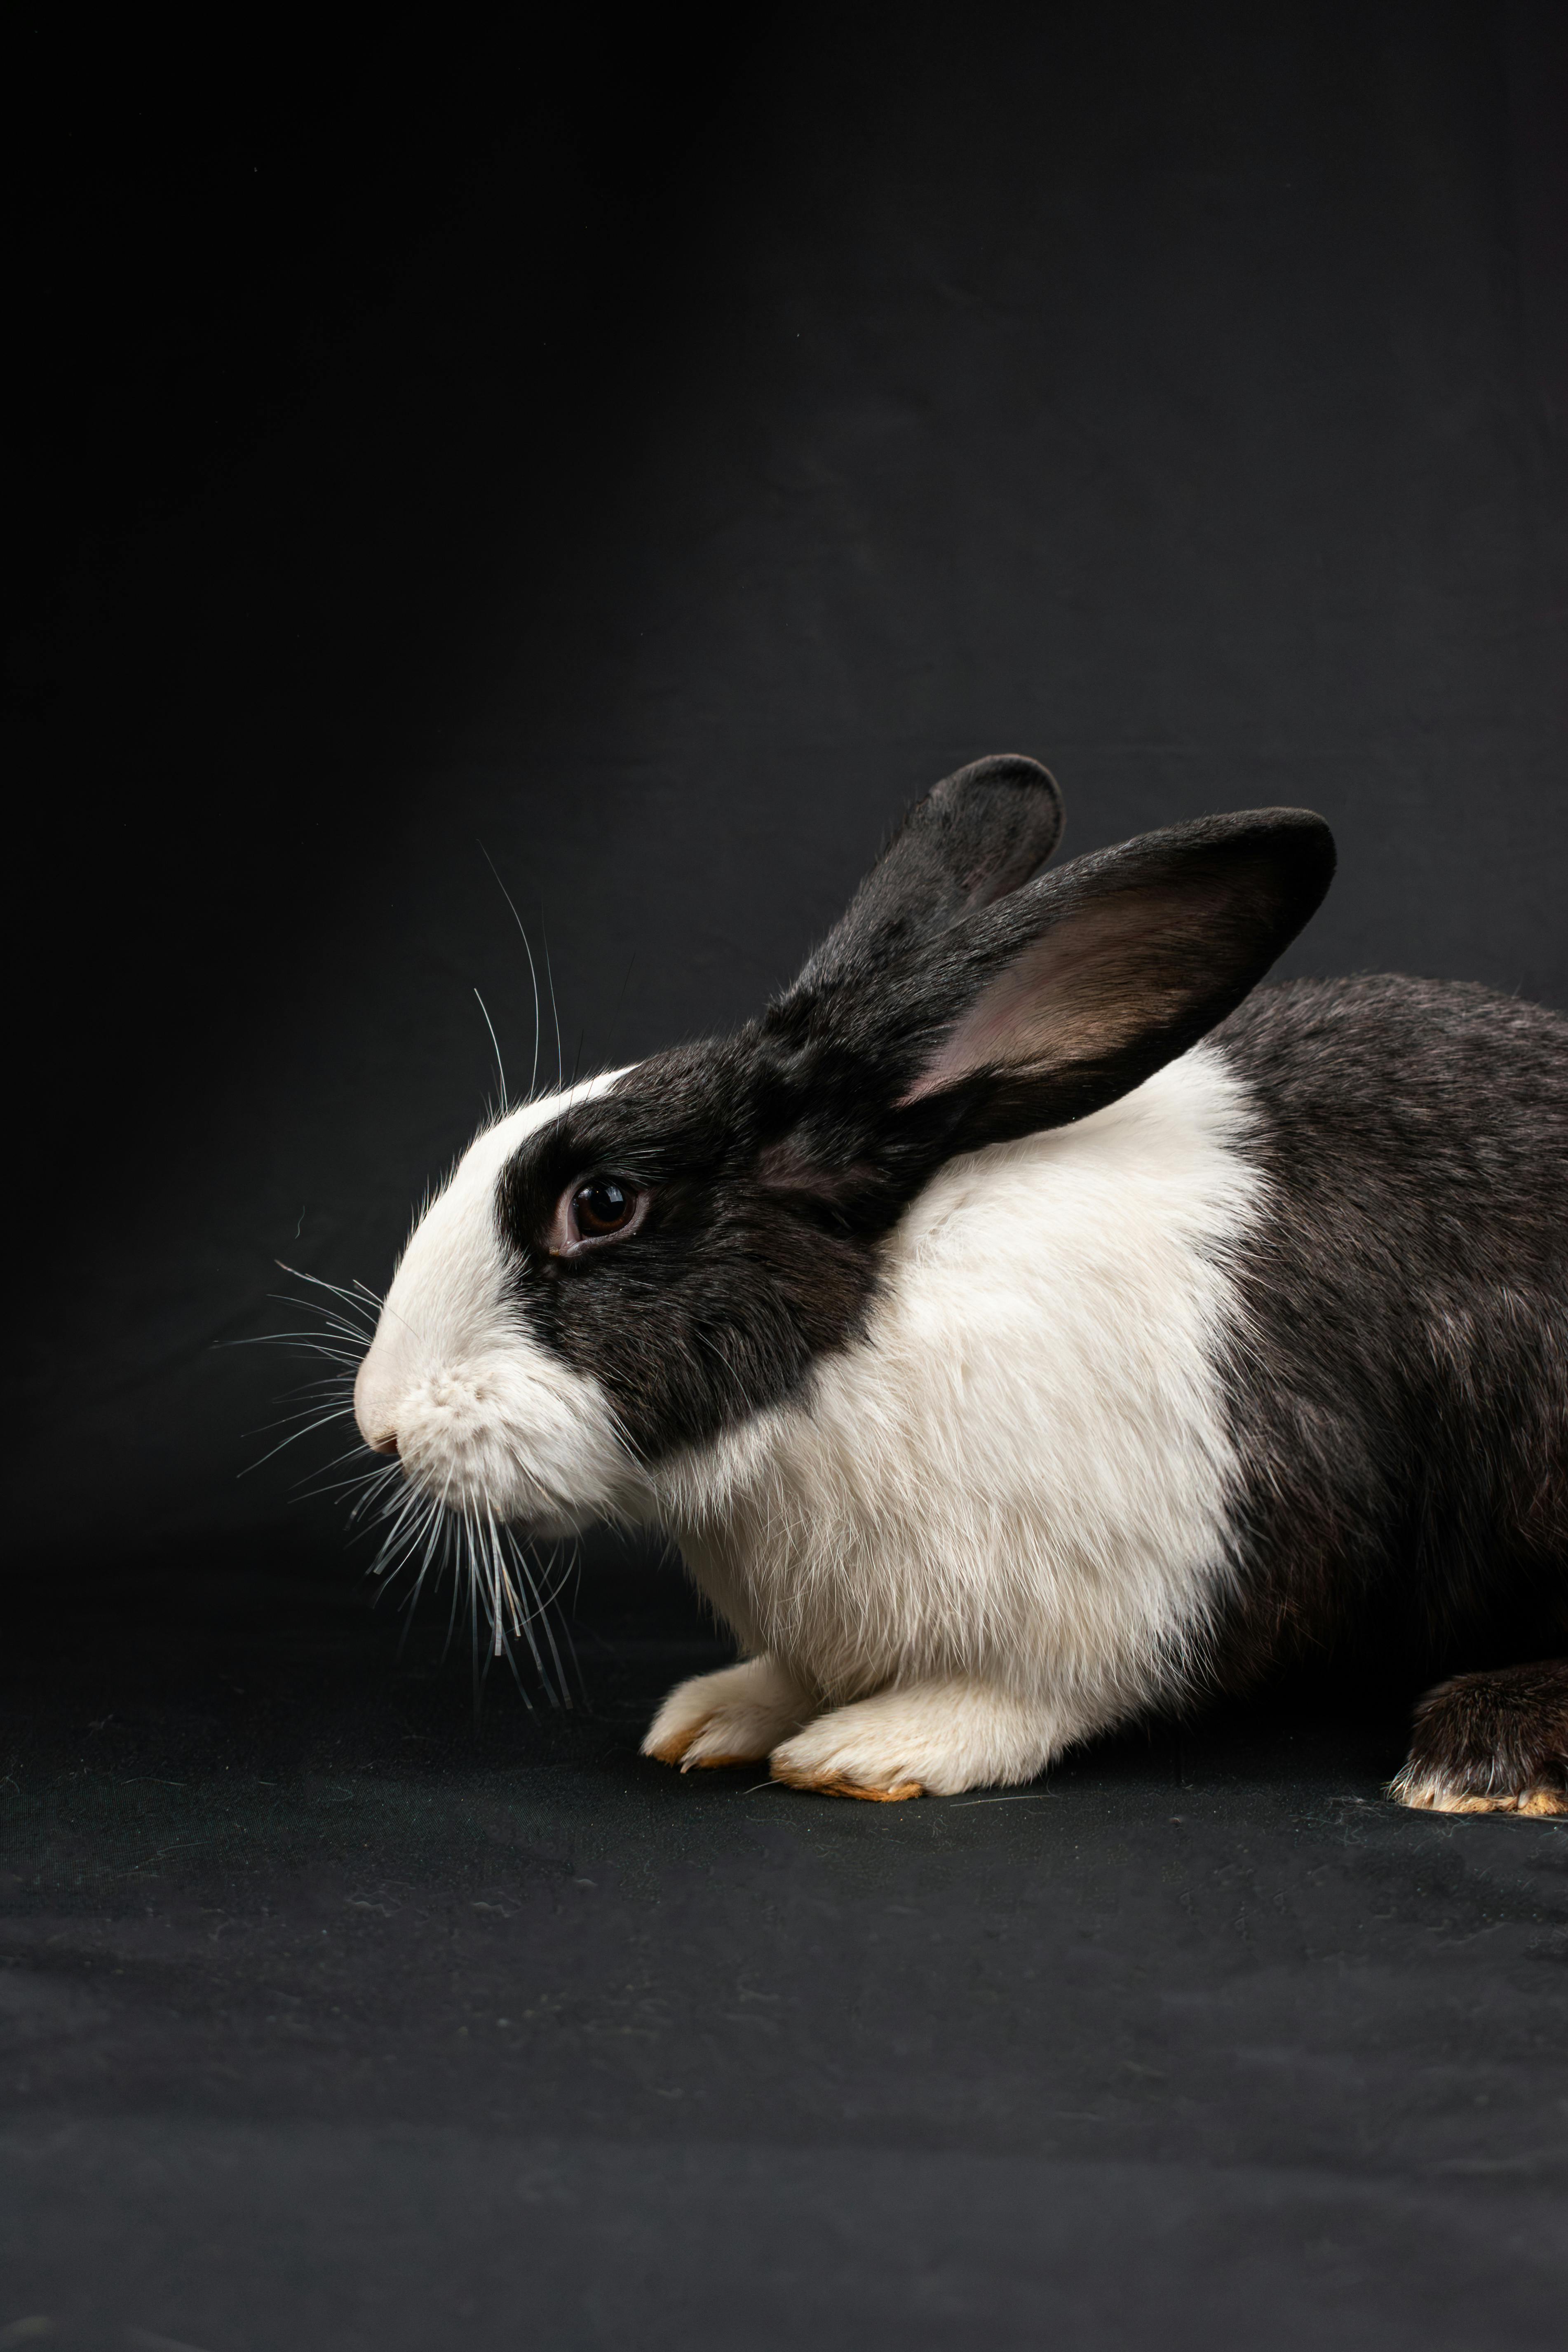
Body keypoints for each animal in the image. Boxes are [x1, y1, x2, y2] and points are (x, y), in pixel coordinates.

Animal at [352, 754, 1568, 1812]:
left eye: (602, 1204)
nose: (379, 1425)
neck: (850, 1347)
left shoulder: (1136, 1583)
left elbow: (1022, 1696)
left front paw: (871, 1749)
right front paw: (713, 1717)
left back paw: (1479, 1759)